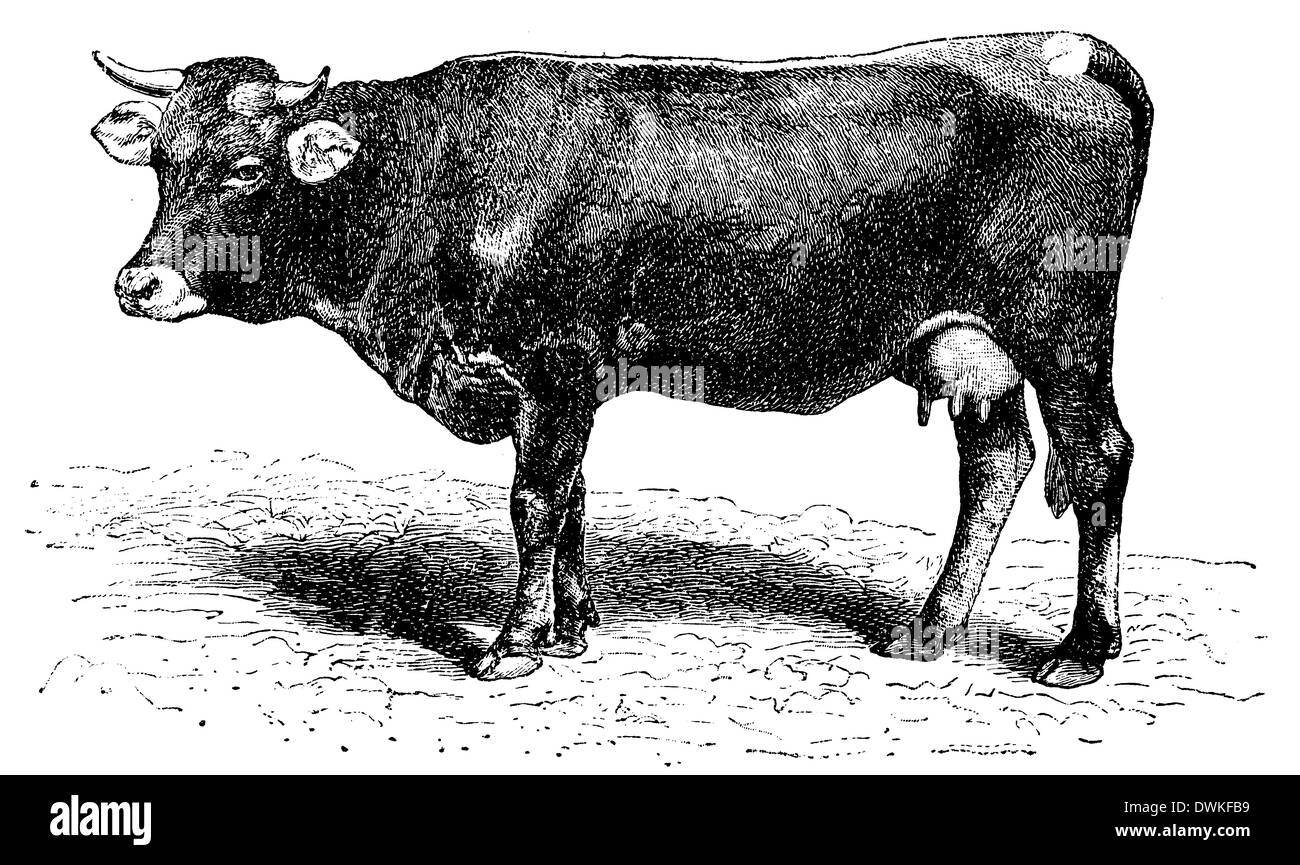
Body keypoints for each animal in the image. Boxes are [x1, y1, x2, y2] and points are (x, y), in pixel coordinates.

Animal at [91, 32, 1152, 688]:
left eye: (244, 169)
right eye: (162, 162)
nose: (138, 283)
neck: (431, 179)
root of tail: (1064, 47)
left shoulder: (555, 362)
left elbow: (533, 501)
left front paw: (515, 644)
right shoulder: (560, 385)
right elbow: (571, 499)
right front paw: (570, 627)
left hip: (1061, 331)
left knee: (1099, 456)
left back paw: (1082, 650)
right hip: (970, 347)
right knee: (997, 461)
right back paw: (931, 628)